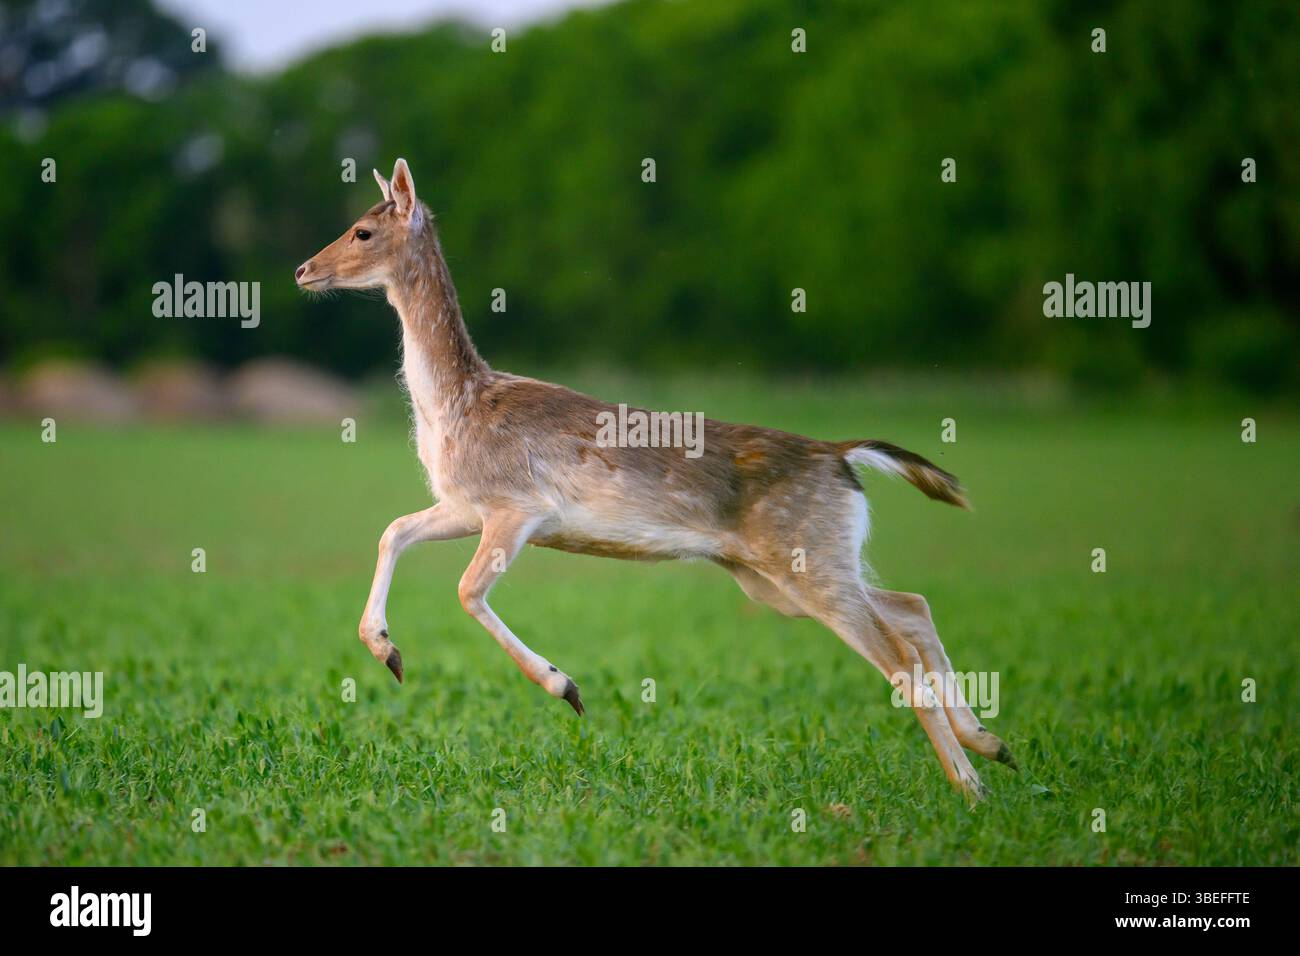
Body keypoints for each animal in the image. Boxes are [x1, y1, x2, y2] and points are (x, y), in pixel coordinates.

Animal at [295, 158, 1016, 798]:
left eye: (363, 230)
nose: (303, 269)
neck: (457, 406)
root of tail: (842, 456)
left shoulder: (519, 506)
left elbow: (468, 591)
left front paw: (565, 687)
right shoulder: (464, 505)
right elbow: (393, 530)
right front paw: (387, 652)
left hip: (806, 556)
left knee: (897, 653)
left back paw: (970, 784)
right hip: (781, 573)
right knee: (911, 608)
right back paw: (991, 744)